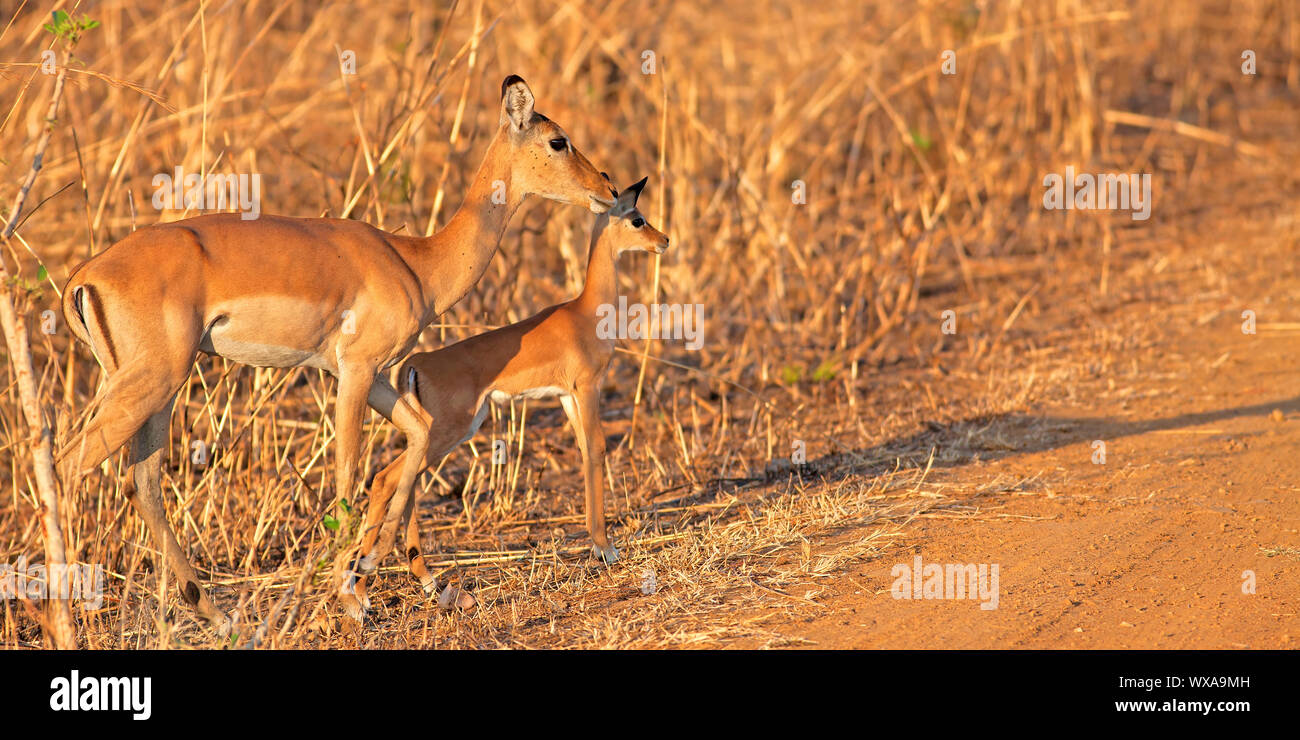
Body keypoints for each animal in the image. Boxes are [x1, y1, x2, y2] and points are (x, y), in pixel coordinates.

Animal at [56, 76, 614, 629]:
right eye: (557, 140)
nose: (608, 190)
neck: (417, 262)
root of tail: (86, 275)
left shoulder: (381, 377)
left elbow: (415, 439)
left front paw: (399, 581)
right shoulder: (355, 371)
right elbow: (349, 471)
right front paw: (353, 596)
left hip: (160, 387)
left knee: (143, 483)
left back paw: (218, 615)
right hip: (151, 381)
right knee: (67, 464)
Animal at [342, 177, 668, 618]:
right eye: (637, 219)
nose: (663, 240)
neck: (587, 313)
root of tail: (416, 362)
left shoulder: (567, 396)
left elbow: (586, 450)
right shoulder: (588, 387)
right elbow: (598, 449)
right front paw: (606, 548)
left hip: (438, 433)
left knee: (404, 480)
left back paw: (421, 583)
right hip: (448, 431)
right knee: (387, 478)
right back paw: (364, 590)